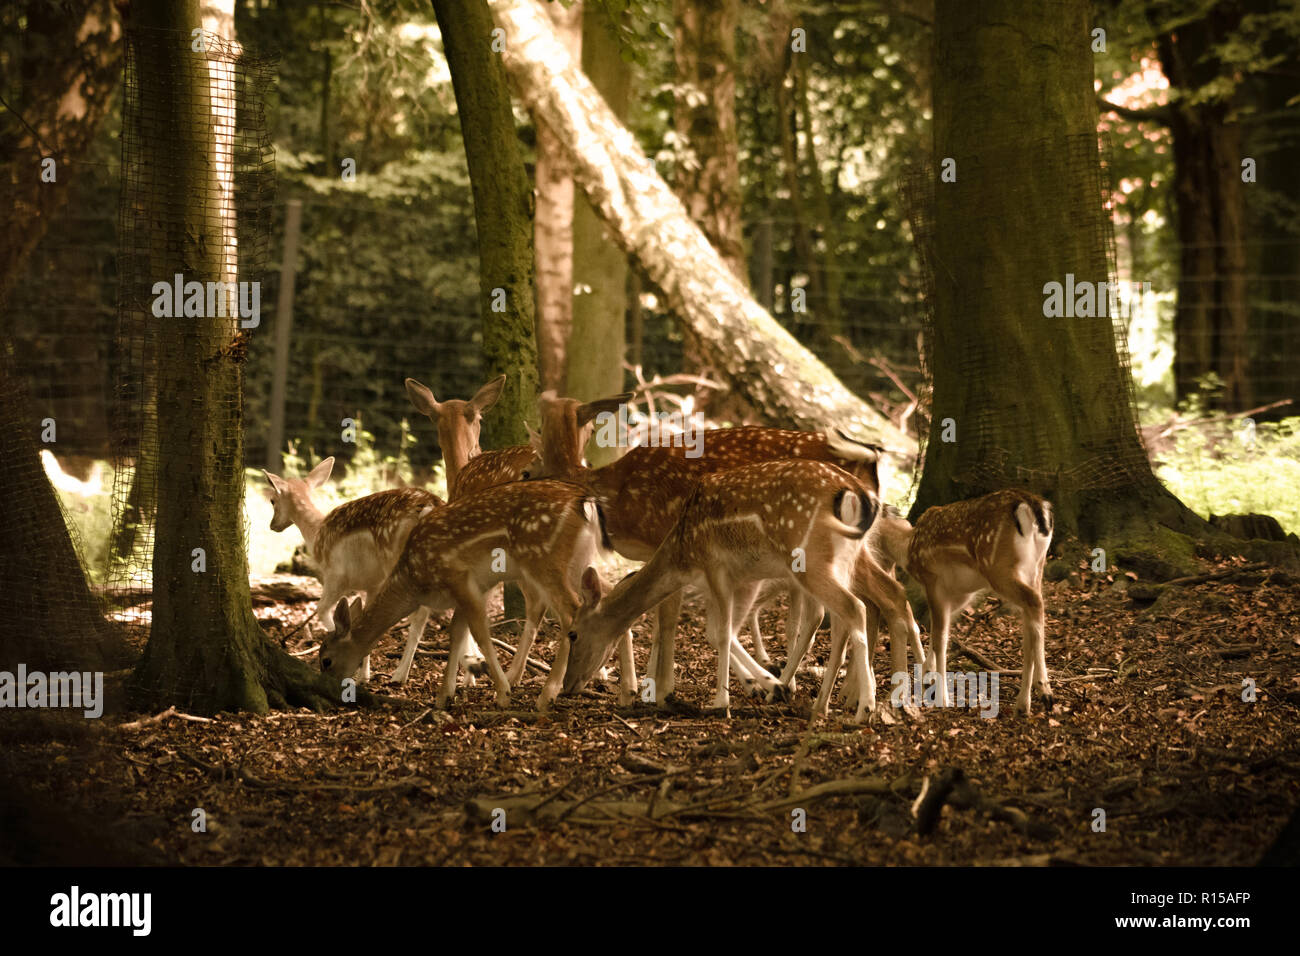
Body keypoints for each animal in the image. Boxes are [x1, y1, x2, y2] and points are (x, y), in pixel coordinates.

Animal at [262, 457, 442, 684]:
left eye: (272, 500)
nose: (272, 525)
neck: (316, 534)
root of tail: (430, 506)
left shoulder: (335, 576)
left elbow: (323, 611)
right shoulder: (371, 584)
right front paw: (364, 674)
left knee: (419, 615)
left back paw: (399, 675)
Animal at [319, 478, 635, 710]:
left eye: (326, 660)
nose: (328, 690)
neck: (414, 580)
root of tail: (585, 501)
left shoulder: (460, 579)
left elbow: (479, 631)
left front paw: (502, 693)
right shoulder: (467, 590)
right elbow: (456, 632)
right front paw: (444, 696)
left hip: (542, 558)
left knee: (571, 613)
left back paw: (547, 695)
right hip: (578, 560)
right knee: (609, 596)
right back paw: (627, 691)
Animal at [561, 459, 880, 720]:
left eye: (573, 633)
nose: (566, 686)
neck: (683, 556)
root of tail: (855, 491)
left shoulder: (717, 569)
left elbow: (723, 634)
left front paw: (721, 703)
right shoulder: (729, 579)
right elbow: (715, 633)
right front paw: (772, 686)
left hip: (810, 559)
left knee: (854, 608)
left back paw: (864, 709)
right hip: (846, 559)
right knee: (839, 619)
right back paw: (820, 705)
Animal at [863, 489, 1055, 715]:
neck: (908, 548)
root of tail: (1033, 506)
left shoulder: (933, 582)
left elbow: (939, 638)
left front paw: (942, 697)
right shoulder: (959, 596)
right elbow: (939, 633)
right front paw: (928, 675)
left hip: (998, 568)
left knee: (1034, 603)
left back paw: (1041, 693)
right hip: (1036, 568)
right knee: (1030, 625)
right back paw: (1027, 701)